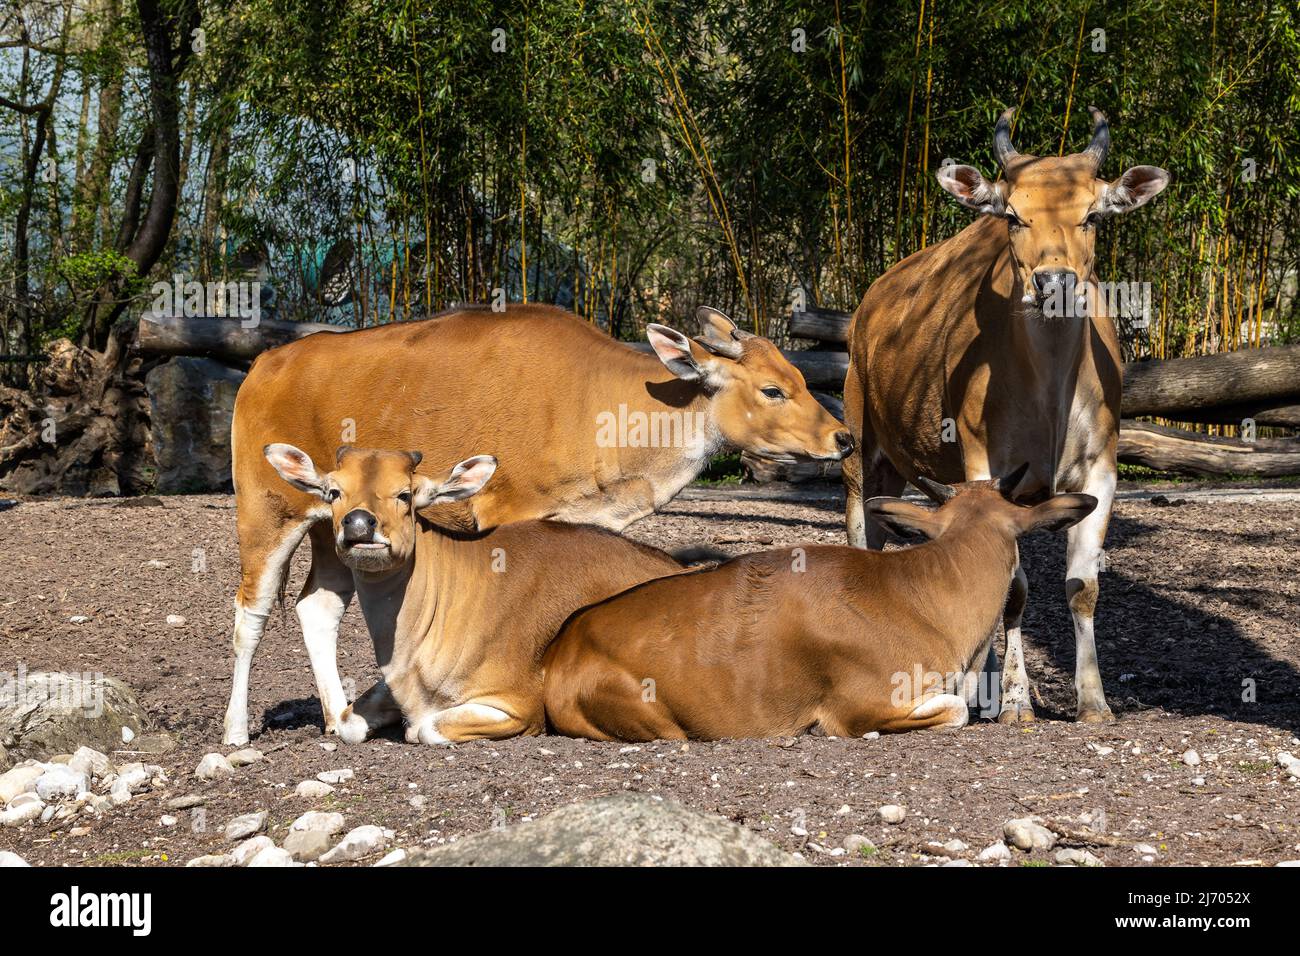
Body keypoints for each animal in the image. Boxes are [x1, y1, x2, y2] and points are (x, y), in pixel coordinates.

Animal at [260, 443, 712, 744]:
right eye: (334, 492)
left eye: (405, 494)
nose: (358, 524)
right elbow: (349, 723)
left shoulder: (517, 705)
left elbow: (427, 728)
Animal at [841, 107, 1169, 724]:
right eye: (1014, 216)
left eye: (1093, 214)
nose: (1054, 281)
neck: (1049, 397)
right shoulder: (982, 458)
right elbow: (1012, 589)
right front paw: (1016, 701)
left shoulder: (1101, 470)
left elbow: (1081, 586)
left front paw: (1093, 701)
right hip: (860, 450)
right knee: (865, 535)